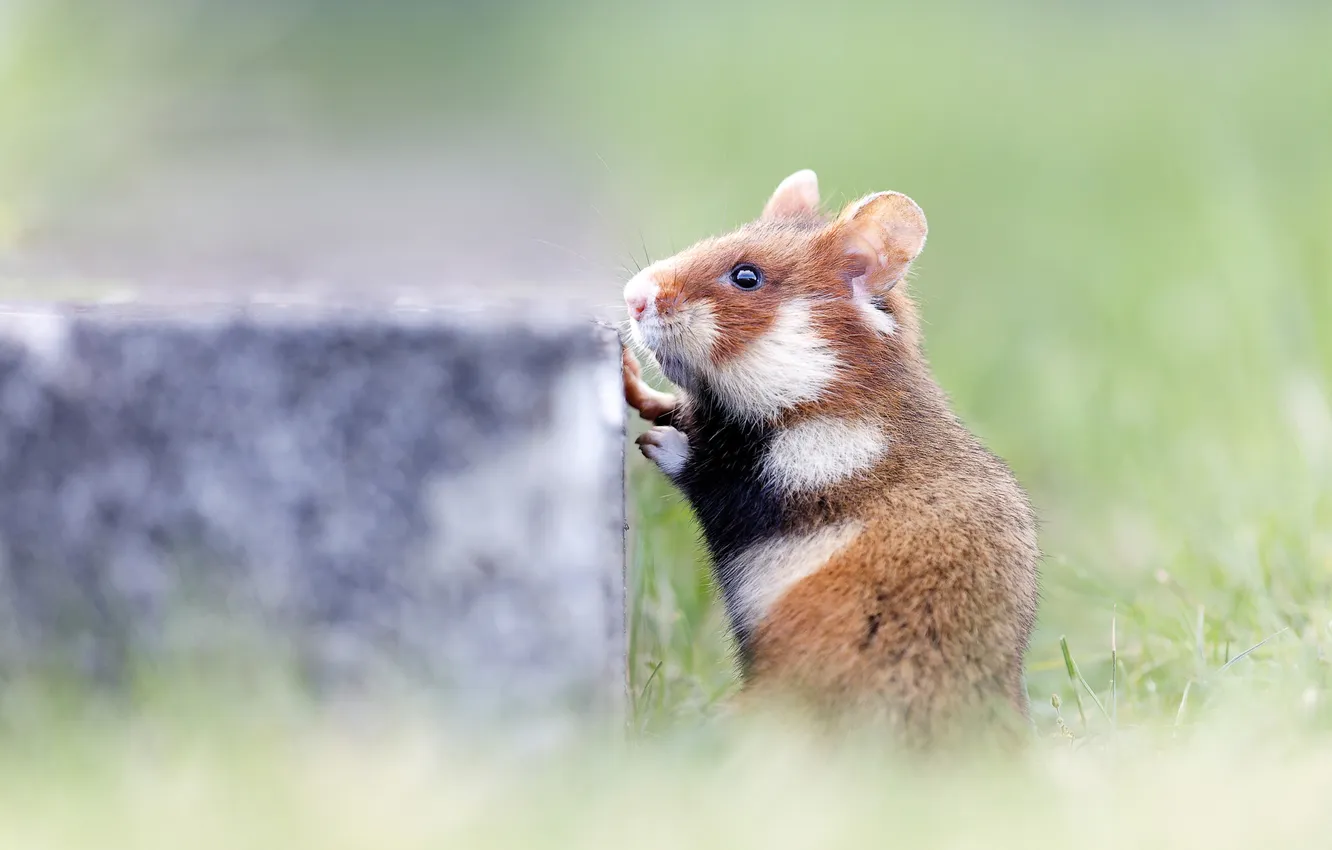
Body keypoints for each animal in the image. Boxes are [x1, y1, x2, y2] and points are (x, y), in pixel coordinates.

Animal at [621, 170, 1040, 748]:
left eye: (746, 277)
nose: (631, 297)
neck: (822, 394)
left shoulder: (788, 480)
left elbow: (711, 470)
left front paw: (656, 441)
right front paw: (637, 386)